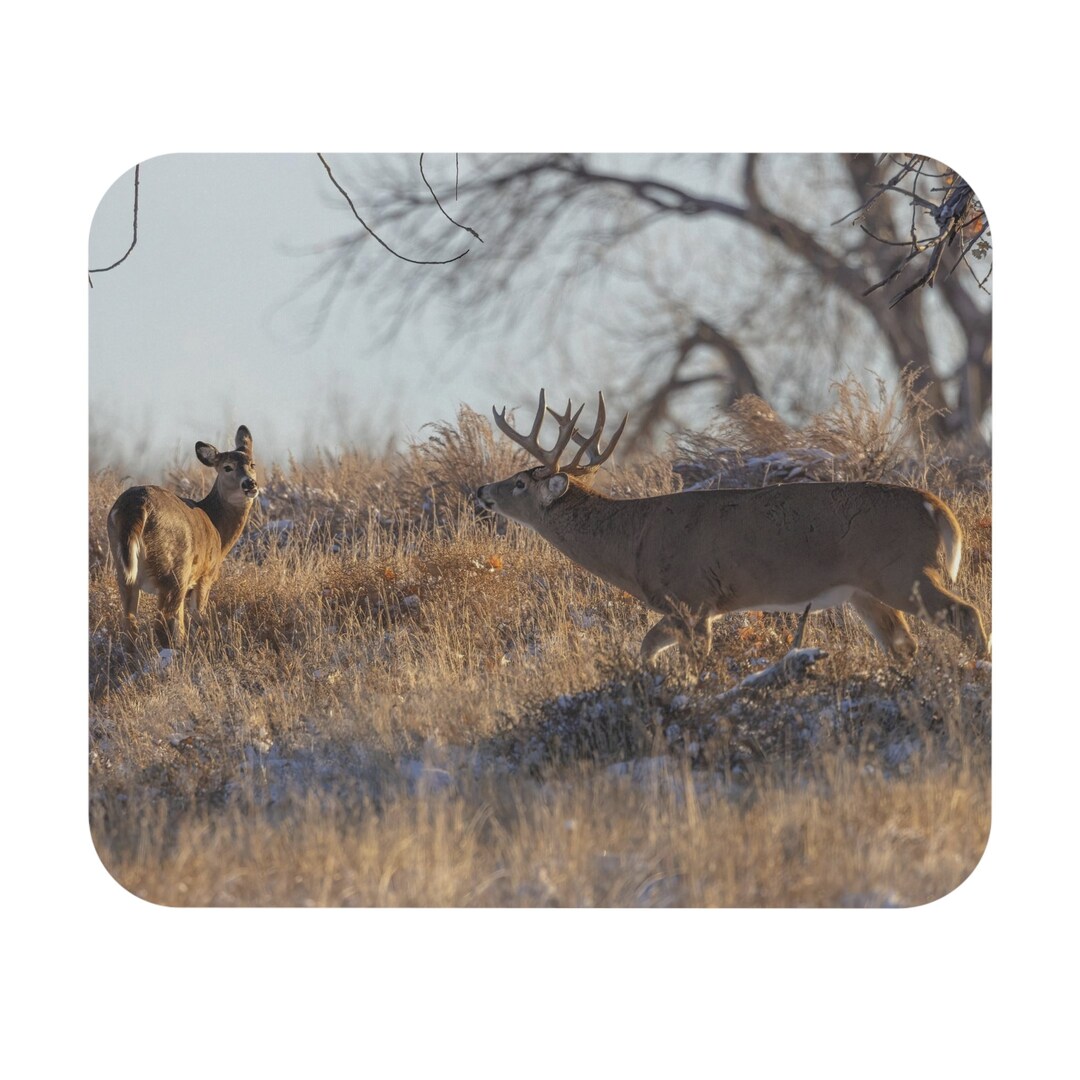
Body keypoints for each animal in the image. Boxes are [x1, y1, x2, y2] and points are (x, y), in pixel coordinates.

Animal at [107, 425, 259, 651]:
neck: (218, 530)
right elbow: (197, 616)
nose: (250, 483)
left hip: (124, 571)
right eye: (227, 467)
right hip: (175, 569)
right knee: (164, 620)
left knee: (129, 622)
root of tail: (136, 506)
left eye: (252, 464)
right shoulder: (205, 575)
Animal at [476, 391, 990, 665]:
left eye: (519, 482)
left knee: (966, 614)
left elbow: (691, 659)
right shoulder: (691, 607)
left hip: (903, 572)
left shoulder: (691, 597)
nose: (482, 490)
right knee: (903, 643)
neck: (634, 541)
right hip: (866, 591)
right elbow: (647, 645)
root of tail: (935, 507)